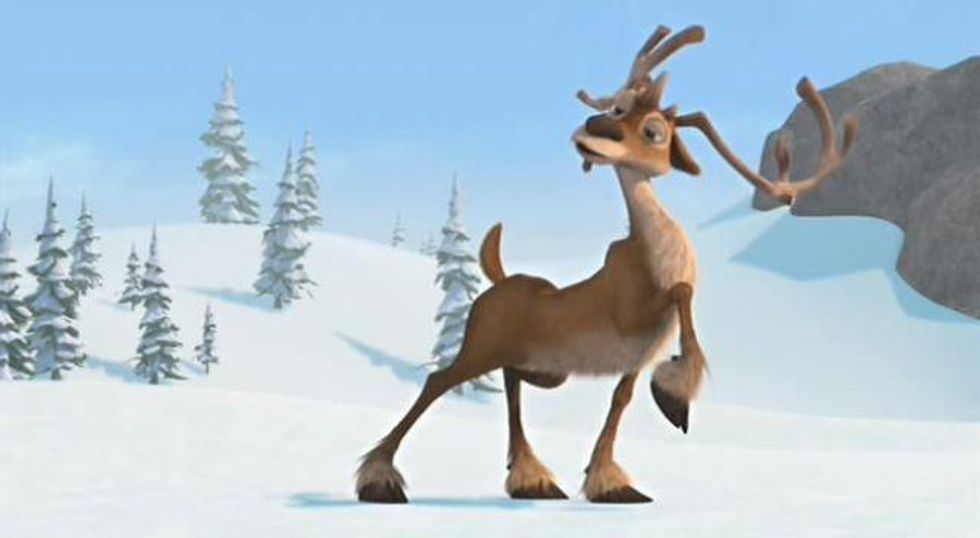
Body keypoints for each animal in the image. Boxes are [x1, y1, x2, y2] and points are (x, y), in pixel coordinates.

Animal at [356, 24, 858, 504]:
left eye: (654, 131)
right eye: (617, 108)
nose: (593, 124)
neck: (661, 257)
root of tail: (498, 280)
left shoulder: (638, 351)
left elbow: (623, 396)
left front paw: (612, 477)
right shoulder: (631, 316)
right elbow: (681, 294)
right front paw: (676, 394)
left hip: (546, 369)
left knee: (511, 381)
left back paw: (531, 479)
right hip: (482, 347)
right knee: (437, 380)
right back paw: (379, 480)